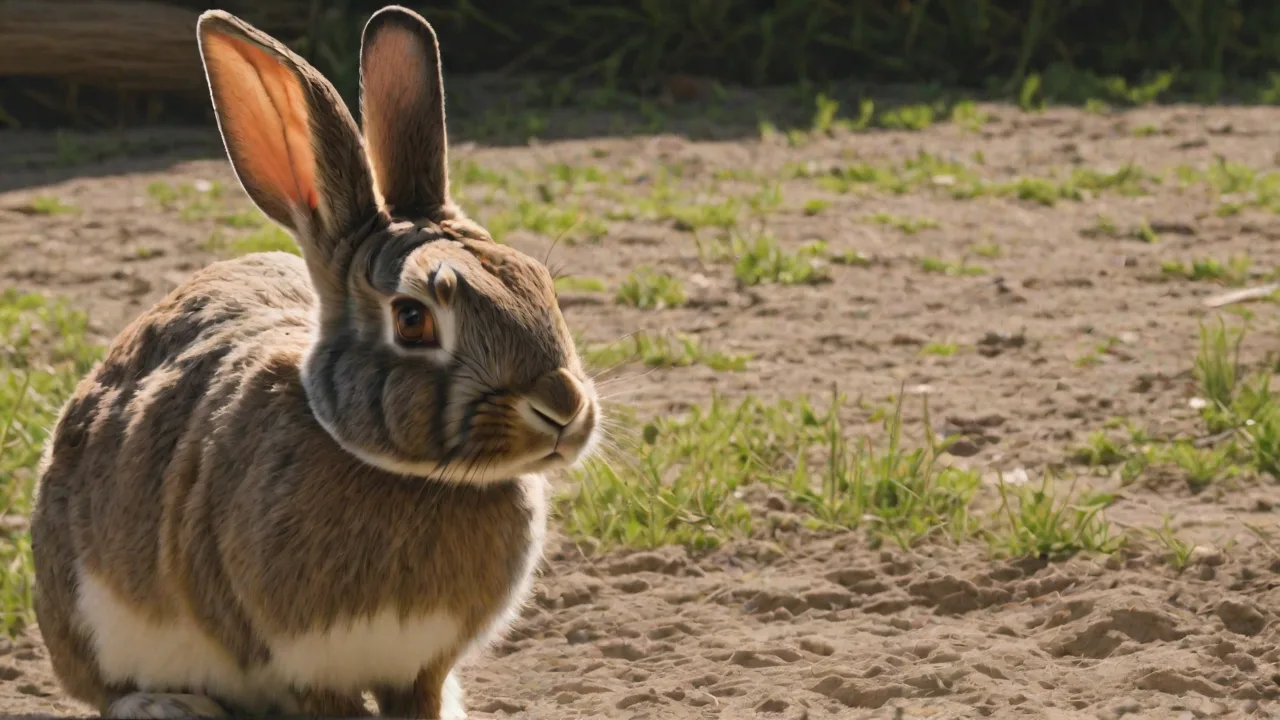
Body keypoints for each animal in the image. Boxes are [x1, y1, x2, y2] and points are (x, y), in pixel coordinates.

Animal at [29, 5, 600, 719]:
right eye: (413, 320)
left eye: (539, 283)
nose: (564, 408)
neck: (412, 476)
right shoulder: (303, 669)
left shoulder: (421, 667)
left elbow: (423, 696)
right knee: (105, 689)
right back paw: (165, 706)